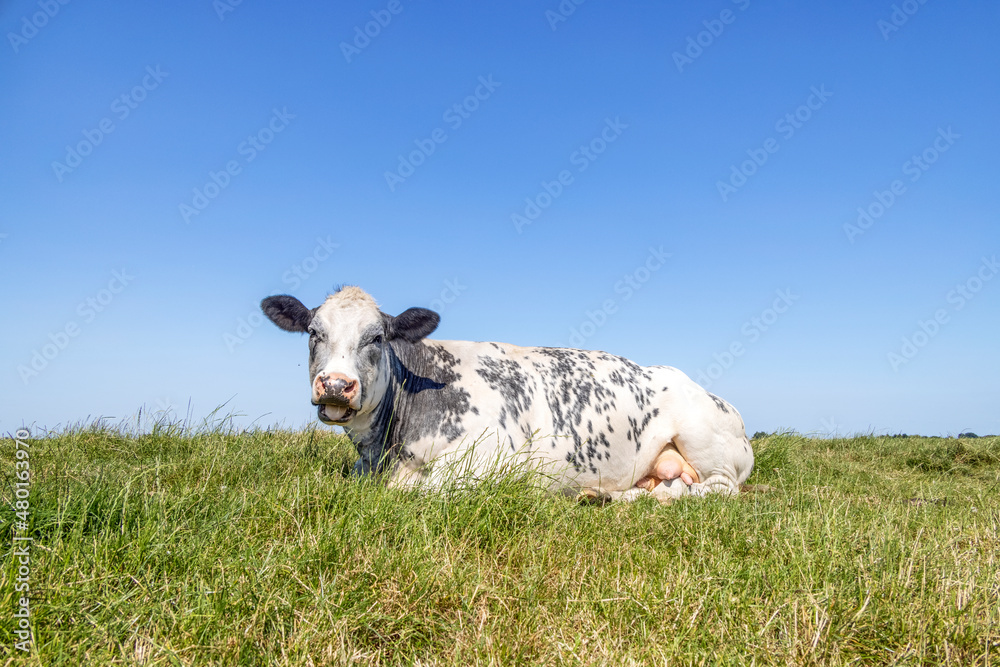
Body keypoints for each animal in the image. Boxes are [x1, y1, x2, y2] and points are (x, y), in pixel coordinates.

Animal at [261, 286, 753, 501]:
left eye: (377, 337)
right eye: (313, 332)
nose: (336, 385)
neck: (389, 449)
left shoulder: (488, 457)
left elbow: (423, 490)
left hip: (706, 441)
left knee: (714, 490)